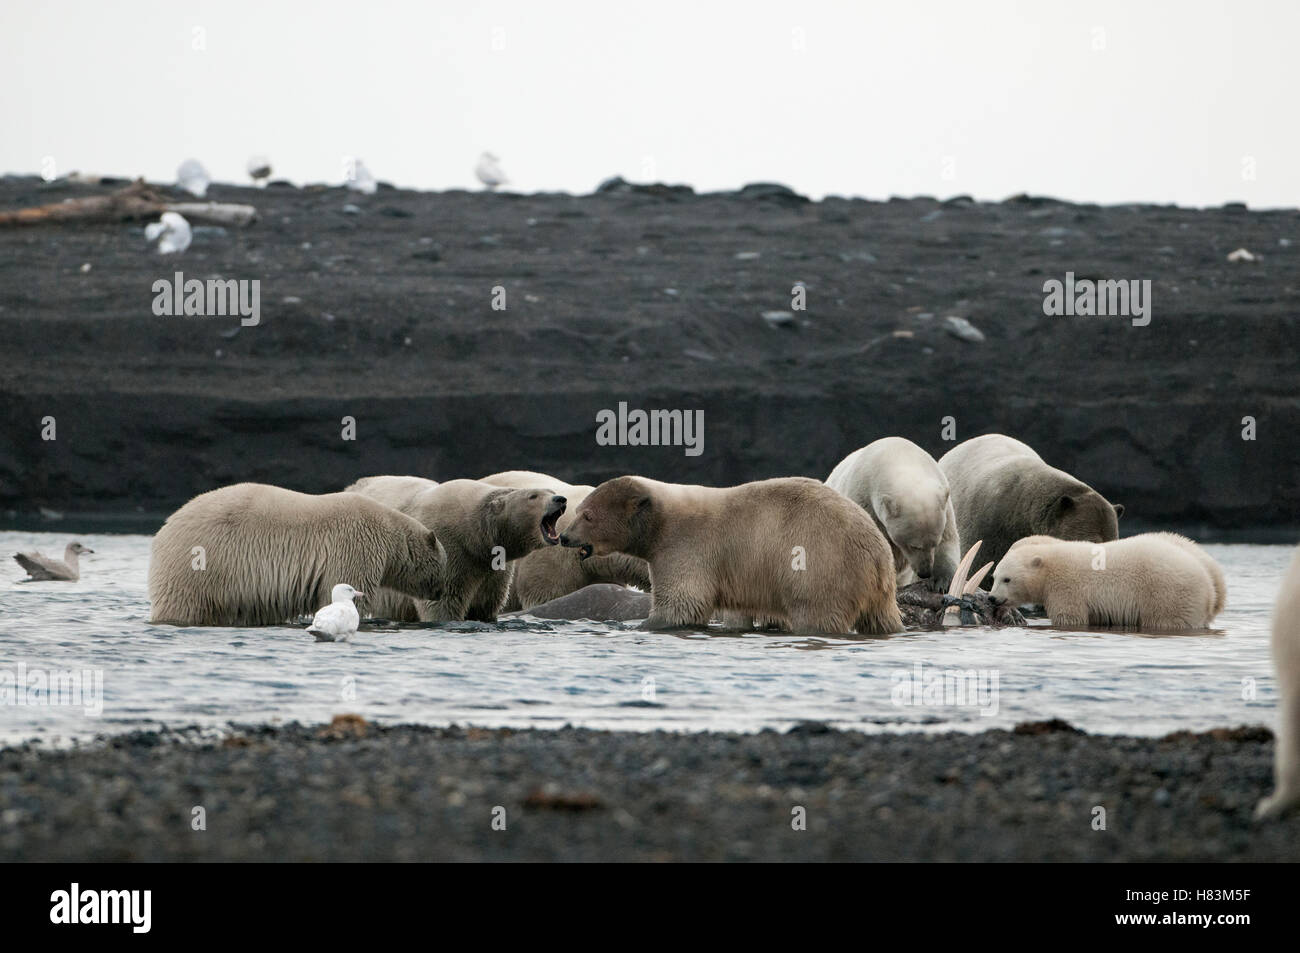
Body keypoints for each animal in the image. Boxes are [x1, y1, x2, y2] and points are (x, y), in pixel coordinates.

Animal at [147, 483, 446, 626]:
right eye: (444, 565)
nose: (441, 592)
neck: (389, 529)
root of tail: (165, 528)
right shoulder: (357, 547)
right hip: (199, 566)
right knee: (185, 604)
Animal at [346, 477, 566, 622]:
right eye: (533, 495)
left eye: (551, 490)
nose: (560, 499)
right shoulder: (448, 547)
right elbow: (443, 602)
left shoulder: (494, 566)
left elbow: (486, 603)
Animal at [559, 476, 902, 635]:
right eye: (577, 511)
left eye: (587, 515)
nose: (564, 536)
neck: (662, 521)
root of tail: (876, 552)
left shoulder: (686, 547)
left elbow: (683, 602)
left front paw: (648, 624)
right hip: (879, 589)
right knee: (880, 617)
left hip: (822, 567)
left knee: (816, 612)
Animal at [826, 437, 962, 591]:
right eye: (913, 546)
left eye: (934, 543)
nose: (925, 572)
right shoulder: (863, 499)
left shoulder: (944, 502)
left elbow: (948, 538)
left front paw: (941, 581)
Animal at [987, 532, 1222, 630]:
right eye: (994, 577)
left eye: (1007, 579)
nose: (992, 598)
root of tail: (1210, 592)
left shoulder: (1066, 588)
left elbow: (1070, 617)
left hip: (1167, 595)